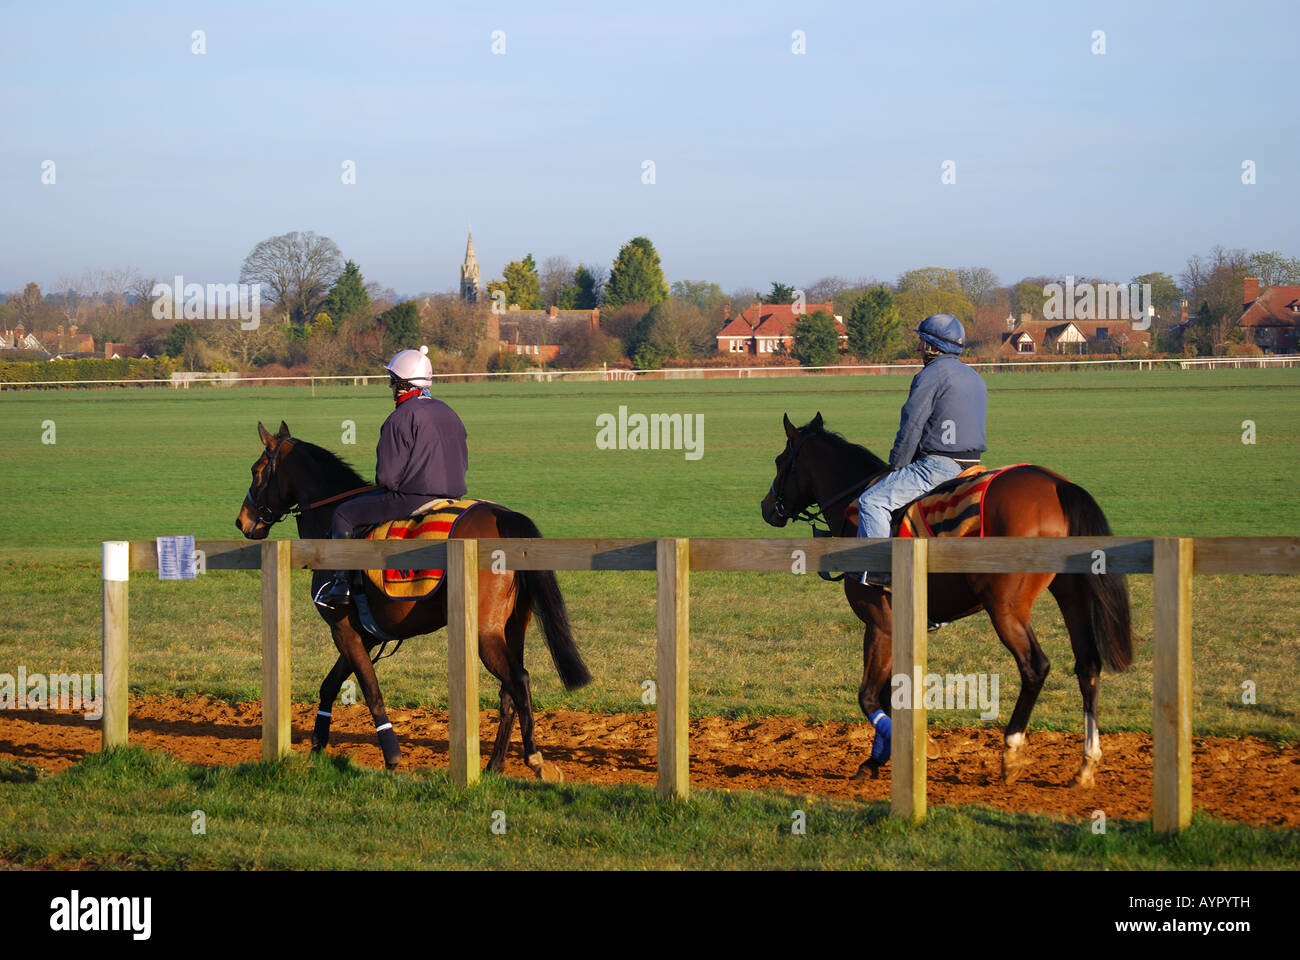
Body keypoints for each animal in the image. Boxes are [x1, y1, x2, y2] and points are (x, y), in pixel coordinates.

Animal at [235, 420, 591, 780]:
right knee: (508, 689)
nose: (242, 521)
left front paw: (392, 756)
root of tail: (503, 517)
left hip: (485, 632)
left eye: (256, 470)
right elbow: (329, 685)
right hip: (514, 628)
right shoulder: (362, 633)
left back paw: (533, 757)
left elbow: (371, 692)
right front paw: (318, 747)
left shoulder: (343, 629)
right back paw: (494, 765)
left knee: (518, 680)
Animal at [759, 413, 1133, 788]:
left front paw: (912, 750)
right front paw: (881, 757)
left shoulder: (879, 622)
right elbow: (891, 692)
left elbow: (870, 695)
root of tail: (1057, 485)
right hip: (1071, 597)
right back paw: (1086, 764)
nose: (766, 507)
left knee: (1035, 666)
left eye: (779, 460)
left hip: (1006, 608)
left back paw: (1011, 752)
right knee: (1087, 666)